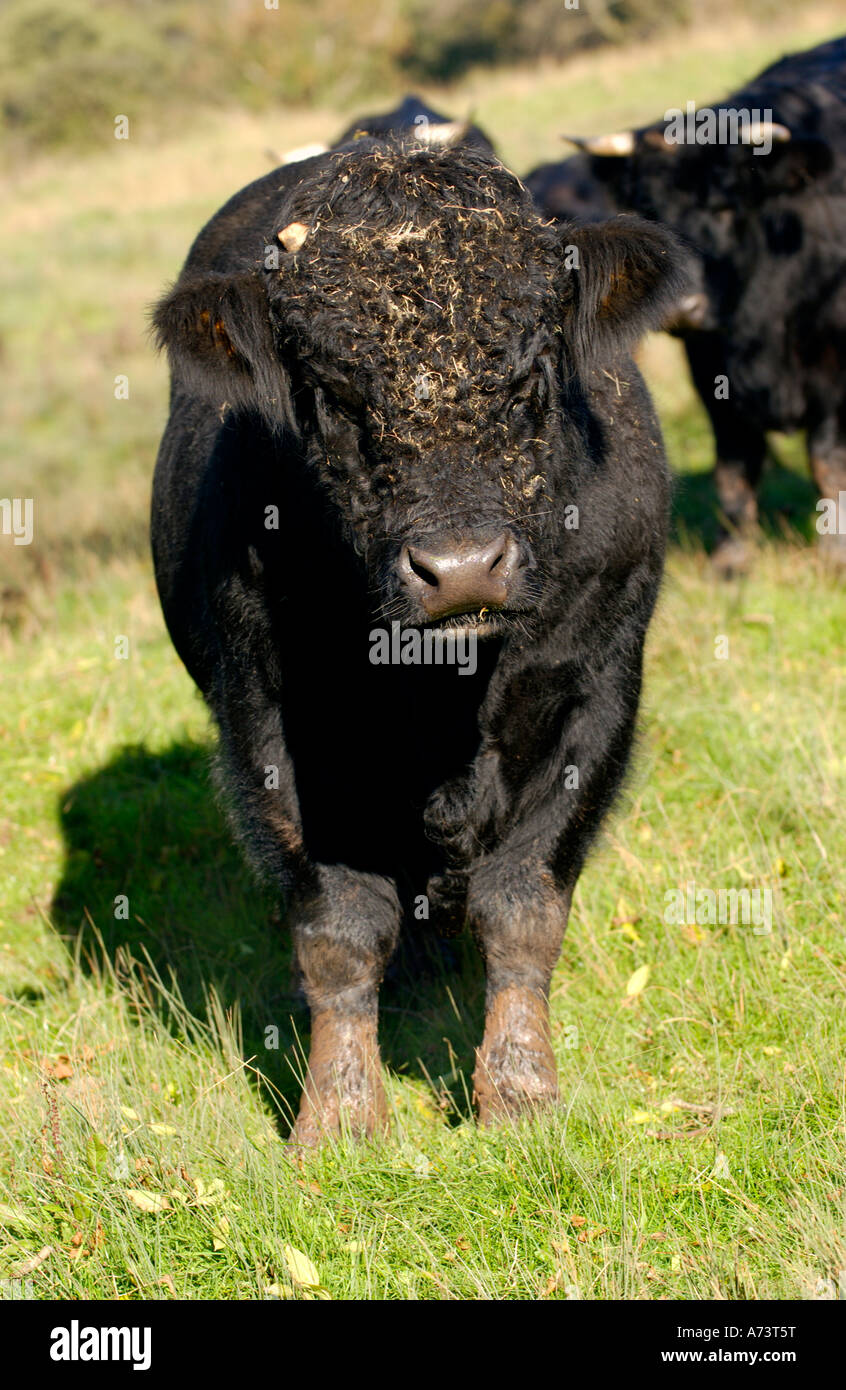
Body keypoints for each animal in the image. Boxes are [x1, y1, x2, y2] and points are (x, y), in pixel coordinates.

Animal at [151, 134, 687, 1145]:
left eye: (531, 371)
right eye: (332, 393)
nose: (463, 568)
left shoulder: (599, 690)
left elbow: (524, 905)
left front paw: (520, 1093)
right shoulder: (269, 724)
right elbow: (339, 931)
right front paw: (338, 1116)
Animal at [562, 37, 846, 571]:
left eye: (726, 207)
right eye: (648, 211)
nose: (681, 307)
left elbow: (828, 463)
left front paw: (834, 555)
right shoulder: (712, 368)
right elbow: (733, 471)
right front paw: (730, 563)